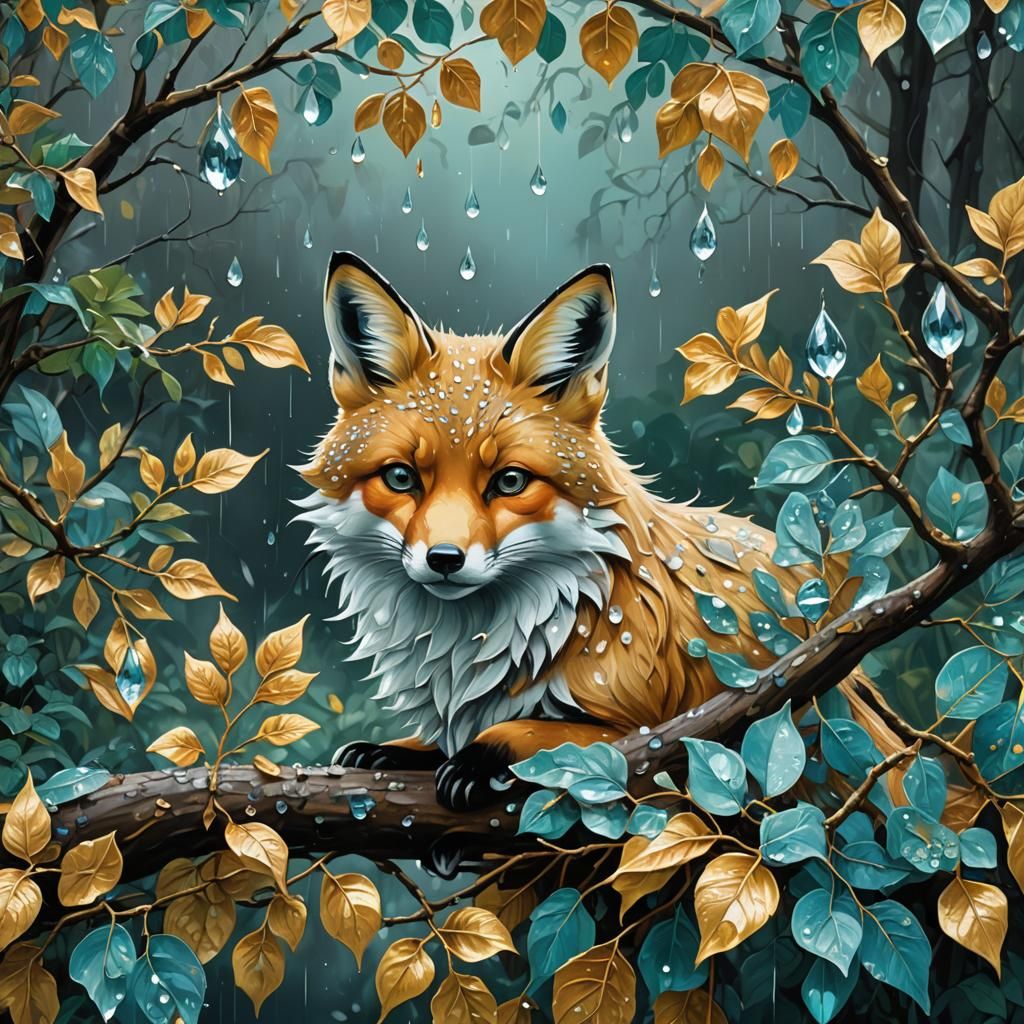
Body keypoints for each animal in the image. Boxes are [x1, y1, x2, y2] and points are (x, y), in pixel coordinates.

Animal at [296, 251, 896, 812]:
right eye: (401, 477)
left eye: (510, 481)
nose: (444, 559)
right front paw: (403, 748)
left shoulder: (665, 732)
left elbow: (543, 733)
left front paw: (480, 753)